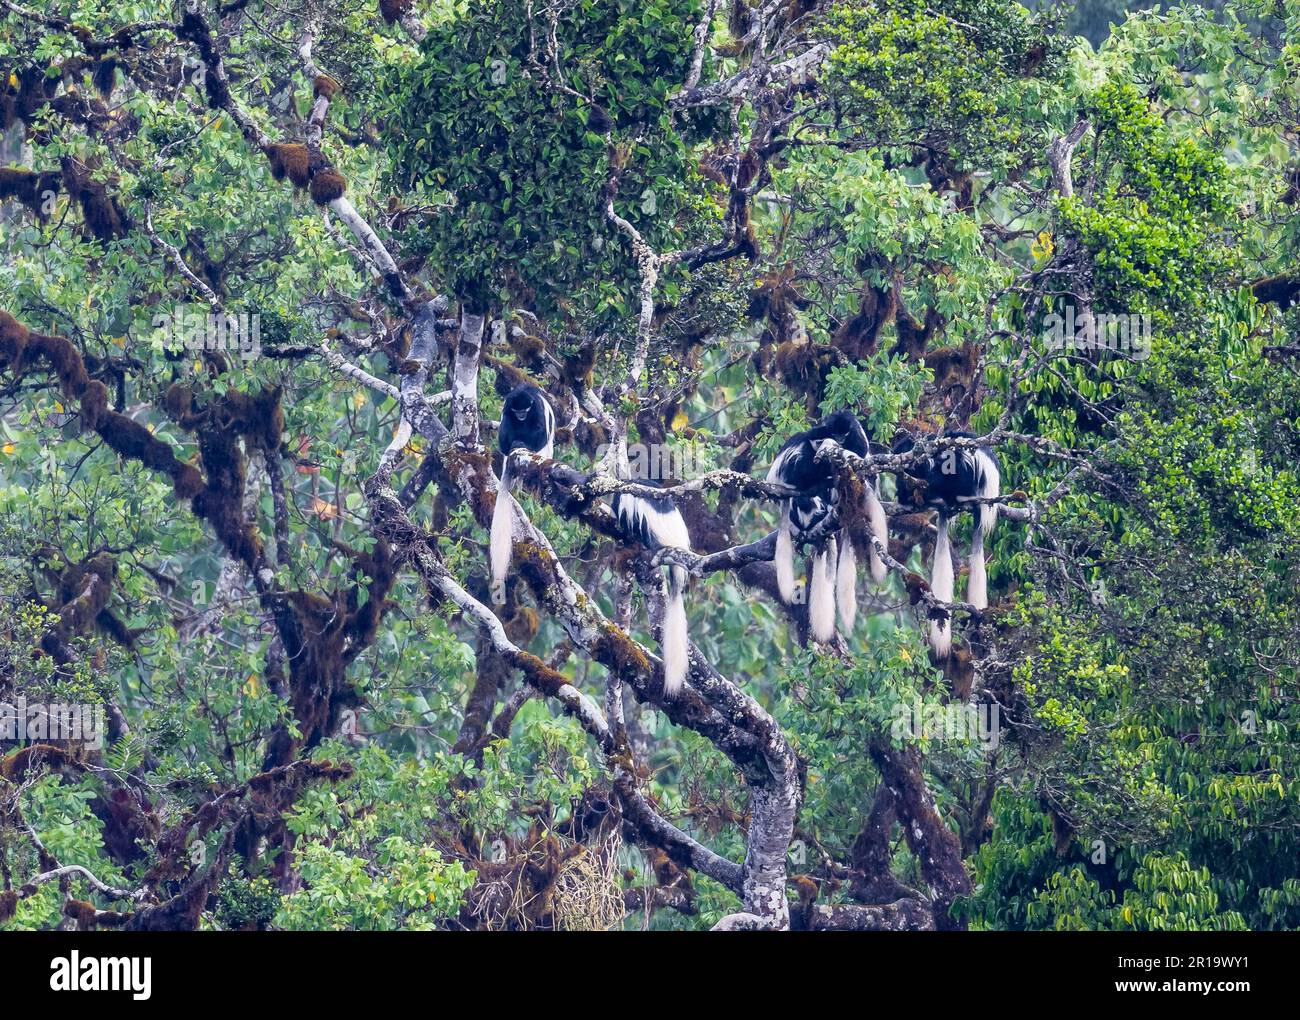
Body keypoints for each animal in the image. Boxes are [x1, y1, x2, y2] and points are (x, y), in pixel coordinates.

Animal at [490, 384, 555, 586]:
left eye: (524, 410)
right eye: (517, 410)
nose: (520, 415)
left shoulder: (537, 409)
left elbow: (540, 429)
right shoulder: (508, 407)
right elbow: (505, 428)